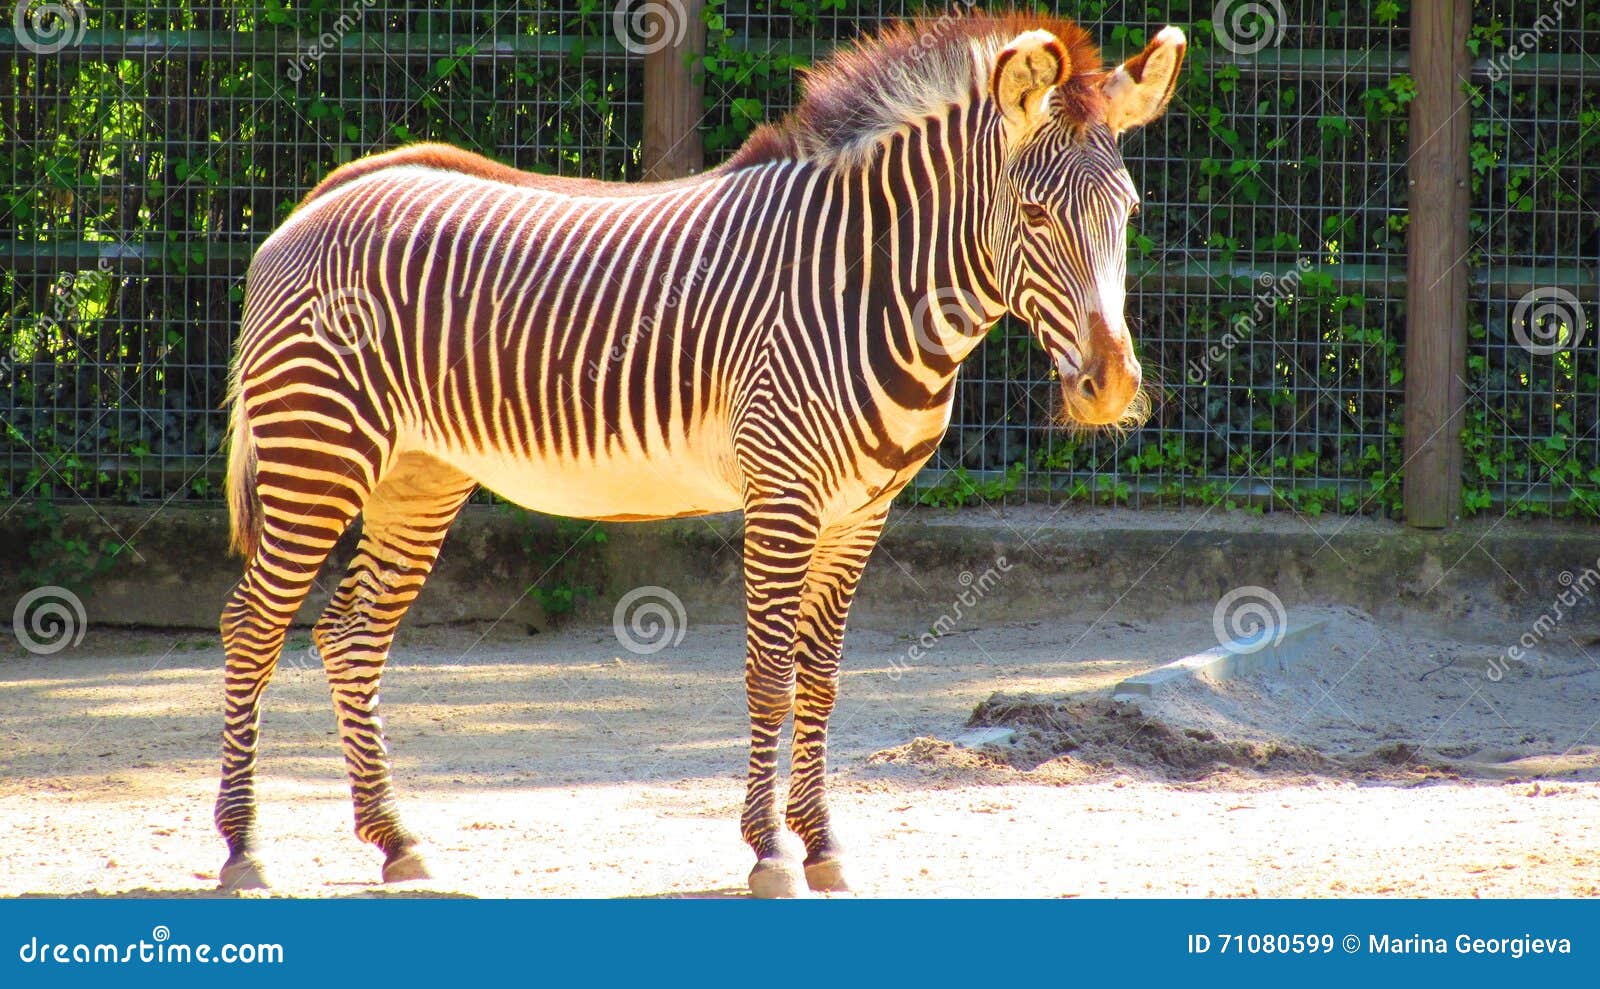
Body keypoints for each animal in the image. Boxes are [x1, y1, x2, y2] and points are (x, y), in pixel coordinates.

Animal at [215, 10, 1185, 898]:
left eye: (1131, 214)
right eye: (1035, 214)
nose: (1110, 387)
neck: (868, 288)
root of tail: (313, 205)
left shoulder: (862, 510)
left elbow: (820, 679)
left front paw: (824, 843)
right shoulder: (785, 494)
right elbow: (768, 675)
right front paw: (772, 852)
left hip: (418, 475)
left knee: (349, 636)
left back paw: (396, 841)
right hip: (317, 452)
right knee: (252, 627)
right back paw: (243, 849)